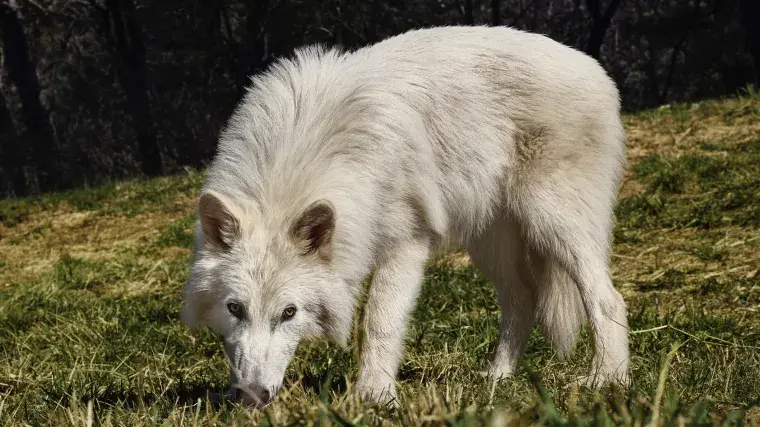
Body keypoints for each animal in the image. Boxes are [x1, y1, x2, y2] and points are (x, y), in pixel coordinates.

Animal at [180, 25, 630, 407]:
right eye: (235, 308)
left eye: (289, 313)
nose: (251, 397)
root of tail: (594, 68)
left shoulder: (406, 243)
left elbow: (380, 321)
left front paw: (376, 397)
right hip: (490, 244)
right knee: (523, 301)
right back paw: (497, 378)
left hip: (553, 223)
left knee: (608, 299)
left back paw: (607, 380)